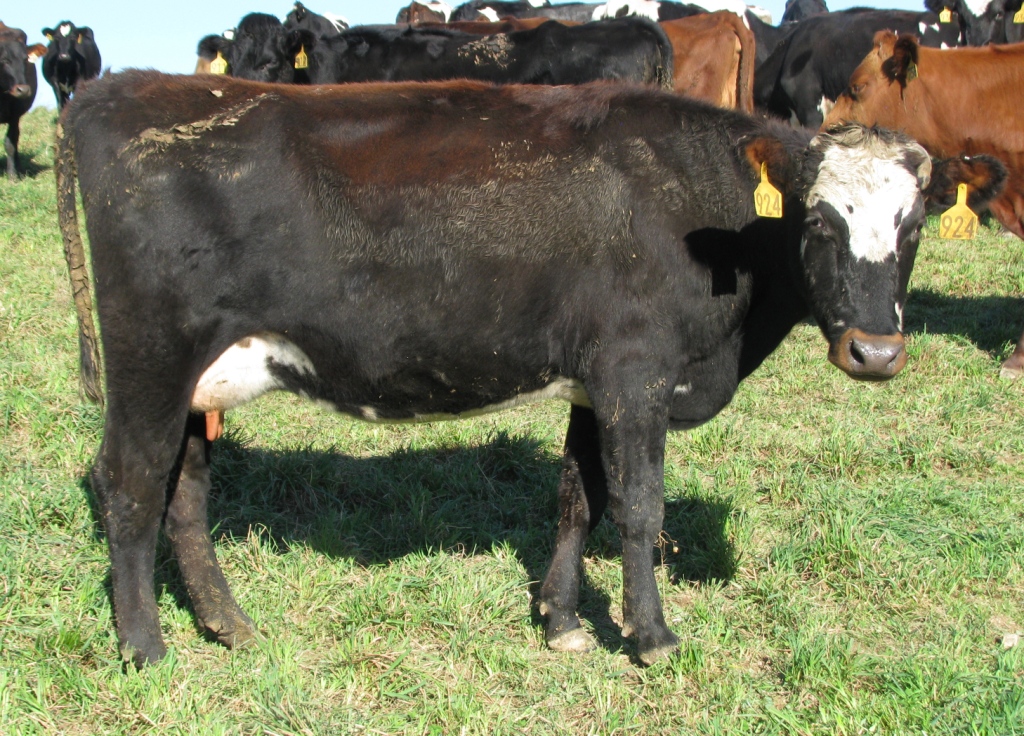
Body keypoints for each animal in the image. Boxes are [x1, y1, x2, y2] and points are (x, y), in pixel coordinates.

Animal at [0, 22, 46, 180]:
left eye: (25, 59)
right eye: (4, 60)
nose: (23, 90)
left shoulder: (14, 115)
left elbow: (10, 143)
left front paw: (12, 175)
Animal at [55, 70, 1003, 668]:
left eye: (912, 226)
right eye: (817, 222)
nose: (875, 351)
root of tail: (115, 89)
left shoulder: (595, 381)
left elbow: (578, 497)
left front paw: (562, 622)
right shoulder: (636, 371)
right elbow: (640, 507)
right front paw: (652, 638)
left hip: (197, 379)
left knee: (183, 493)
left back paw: (230, 627)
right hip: (150, 357)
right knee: (129, 483)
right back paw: (146, 647)